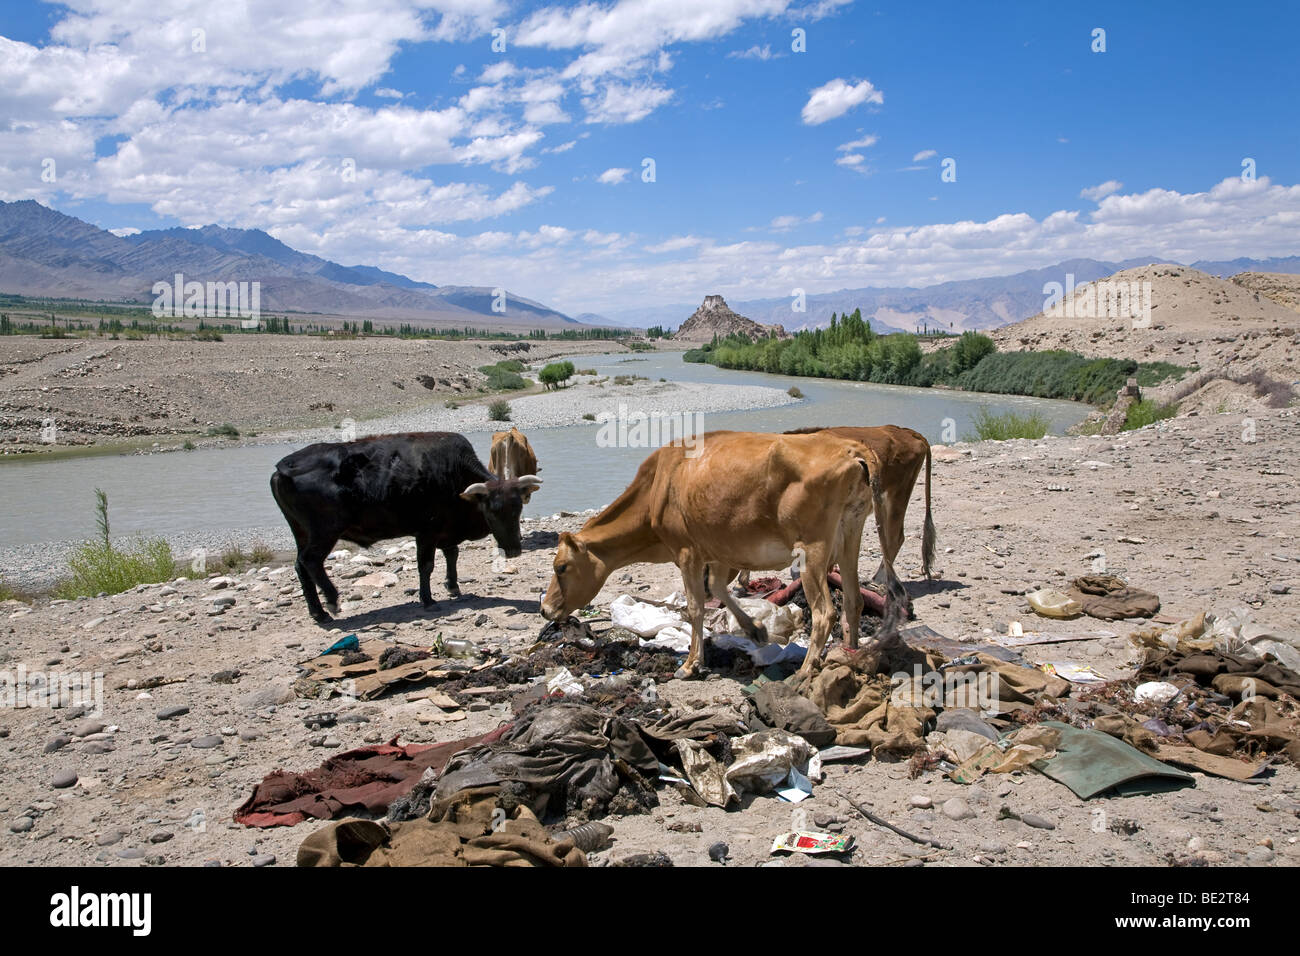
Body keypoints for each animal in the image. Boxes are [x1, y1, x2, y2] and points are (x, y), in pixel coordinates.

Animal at [270, 432, 541, 624]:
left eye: (517, 508)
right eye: (492, 511)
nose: (514, 550)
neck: (453, 473)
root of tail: (284, 467)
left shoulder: (446, 530)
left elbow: (452, 554)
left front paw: (453, 586)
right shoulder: (427, 532)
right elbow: (426, 566)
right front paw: (428, 599)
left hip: (301, 531)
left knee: (300, 565)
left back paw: (318, 613)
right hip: (324, 532)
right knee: (311, 561)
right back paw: (332, 601)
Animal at [540, 430, 893, 678]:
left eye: (561, 567)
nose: (544, 609)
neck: (656, 489)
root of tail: (851, 448)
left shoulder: (686, 551)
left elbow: (695, 606)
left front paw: (690, 664)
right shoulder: (719, 550)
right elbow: (719, 588)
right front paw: (754, 628)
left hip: (813, 549)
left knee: (824, 612)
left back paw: (806, 671)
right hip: (850, 532)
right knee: (853, 600)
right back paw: (850, 656)